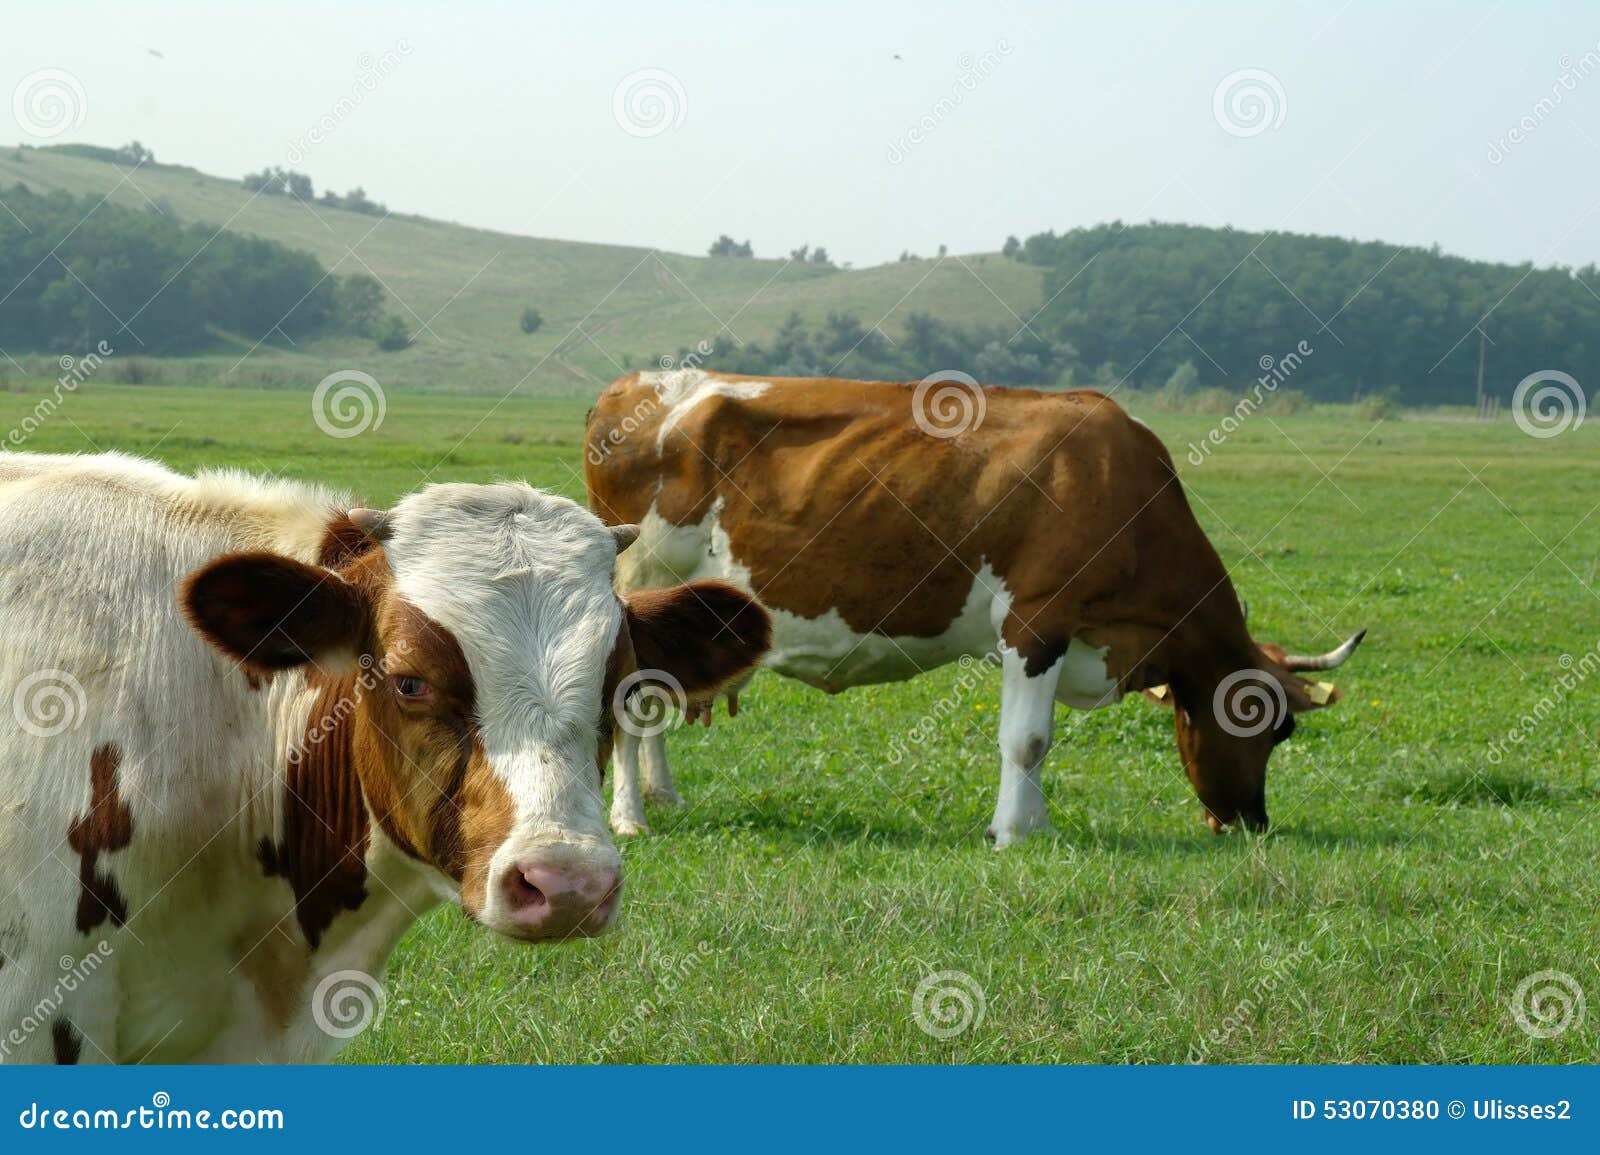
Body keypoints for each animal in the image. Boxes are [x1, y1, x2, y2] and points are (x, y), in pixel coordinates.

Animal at [584, 368, 1364, 846]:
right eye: (1280, 728)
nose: (1253, 821)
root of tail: (638, 385)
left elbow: (1040, 743)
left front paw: (1036, 825)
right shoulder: (1036, 622)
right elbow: (1027, 740)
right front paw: (1013, 833)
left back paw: (662, 795)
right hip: (643, 579)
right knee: (632, 706)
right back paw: (630, 818)